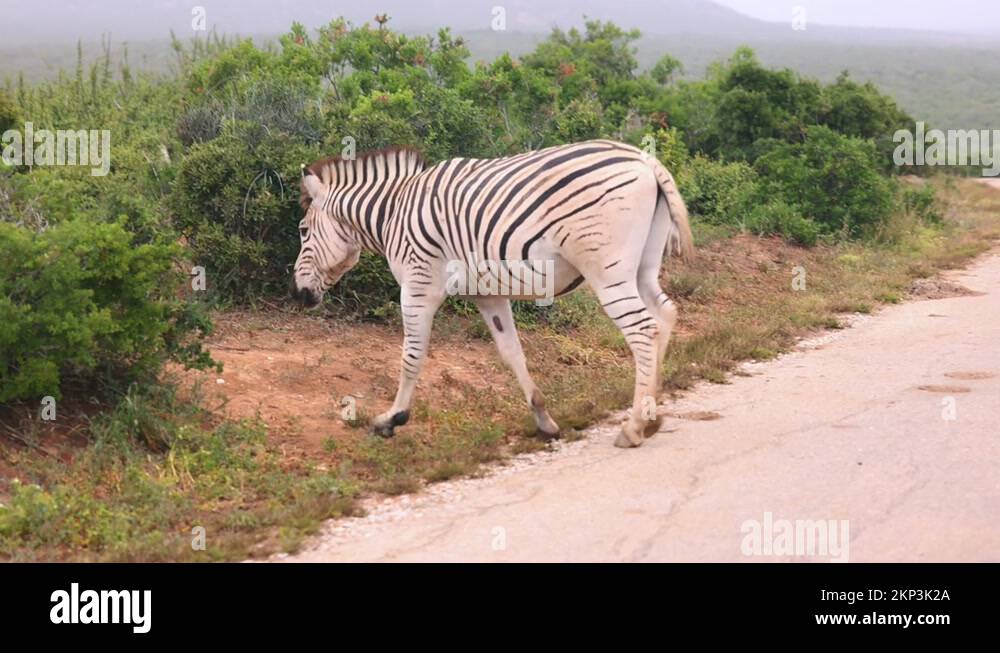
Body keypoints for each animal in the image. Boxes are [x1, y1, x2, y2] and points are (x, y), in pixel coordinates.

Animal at [293, 139, 694, 448]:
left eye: (302, 231)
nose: (298, 295)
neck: (394, 213)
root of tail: (644, 159)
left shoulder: (418, 285)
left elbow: (411, 356)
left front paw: (392, 419)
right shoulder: (488, 294)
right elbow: (512, 353)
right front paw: (543, 418)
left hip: (607, 271)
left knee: (643, 329)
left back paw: (634, 427)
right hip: (641, 268)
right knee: (665, 315)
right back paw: (652, 413)